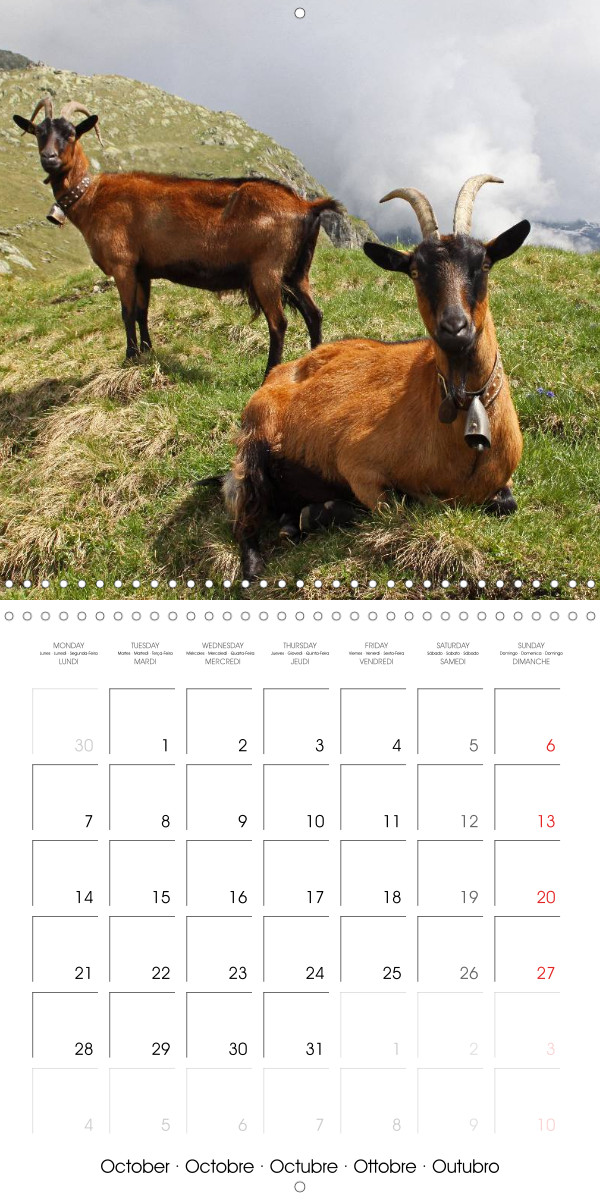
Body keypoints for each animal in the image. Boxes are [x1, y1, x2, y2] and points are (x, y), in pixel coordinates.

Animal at [13, 97, 342, 376]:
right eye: (39, 132)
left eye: (71, 133)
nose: (49, 159)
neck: (92, 197)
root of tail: (306, 206)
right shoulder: (142, 270)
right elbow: (142, 312)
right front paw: (147, 352)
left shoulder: (122, 264)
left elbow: (126, 312)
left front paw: (129, 357)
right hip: (296, 272)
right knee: (314, 314)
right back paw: (316, 362)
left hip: (267, 270)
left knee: (279, 322)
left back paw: (269, 372)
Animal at [221, 175, 531, 578]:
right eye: (415, 271)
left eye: (485, 263)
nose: (454, 327)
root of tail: (282, 371)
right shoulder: (357, 464)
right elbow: (399, 507)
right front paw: (329, 511)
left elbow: (506, 503)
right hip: (255, 443)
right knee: (244, 518)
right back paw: (264, 555)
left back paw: (298, 519)